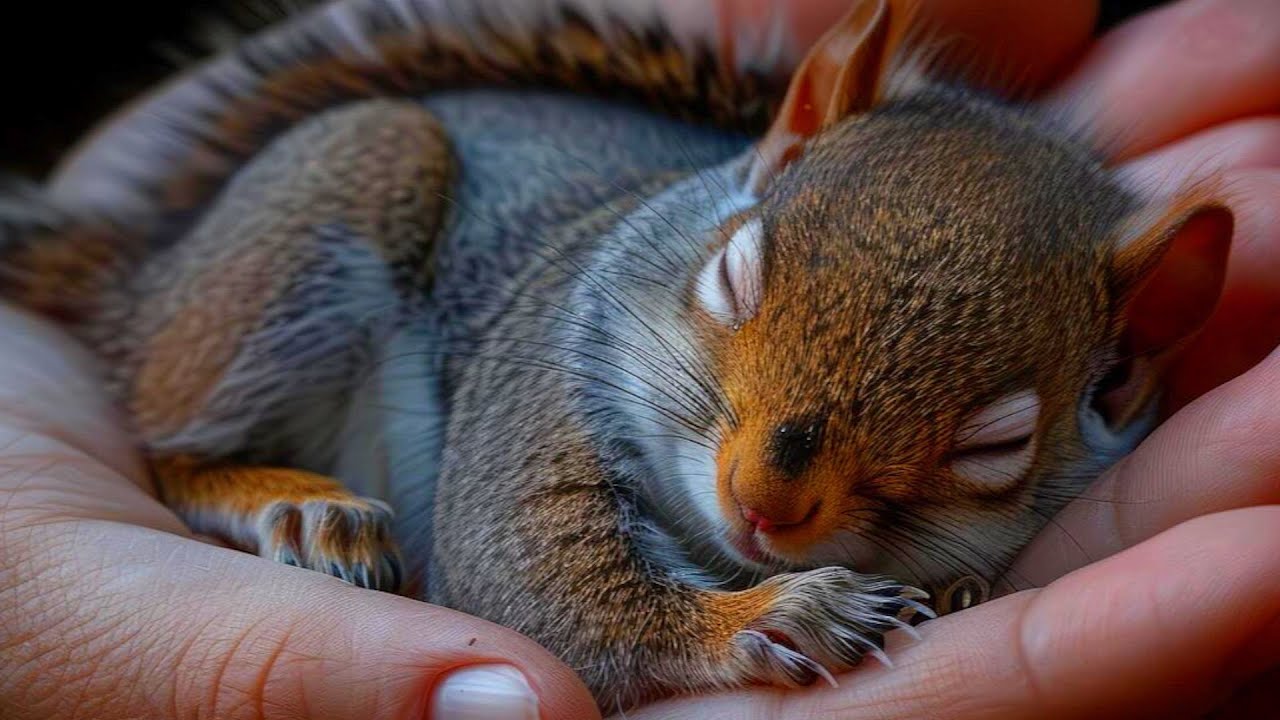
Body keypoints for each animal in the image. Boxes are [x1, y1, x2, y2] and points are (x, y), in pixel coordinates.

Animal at [0, 0, 1234, 710]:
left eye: (996, 443)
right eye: (736, 274)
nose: (765, 502)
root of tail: (151, 271)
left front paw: (956, 586)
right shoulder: (539, 385)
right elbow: (537, 577)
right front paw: (781, 620)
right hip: (327, 205)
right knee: (171, 440)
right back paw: (296, 500)